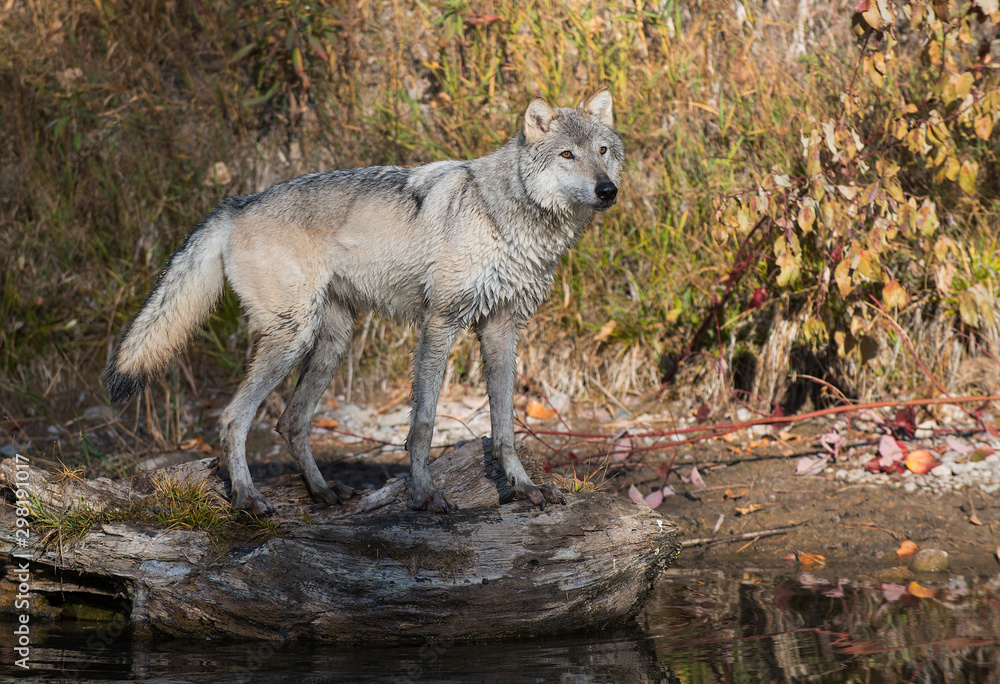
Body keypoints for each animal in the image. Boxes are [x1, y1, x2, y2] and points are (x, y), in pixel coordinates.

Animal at [104, 89, 624, 515]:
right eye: (566, 154)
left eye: (601, 152)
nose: (608, 190)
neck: (510, 217)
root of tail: (239, 203)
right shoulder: (439, 323)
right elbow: (423, 423)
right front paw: (424, 494)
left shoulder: (501, 329)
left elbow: (505, 428)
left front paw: (523, 488)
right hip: (292, 338)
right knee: (234, 417)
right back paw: (249, 499)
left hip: (331, 342)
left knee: (291, 422)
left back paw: (322, 492)